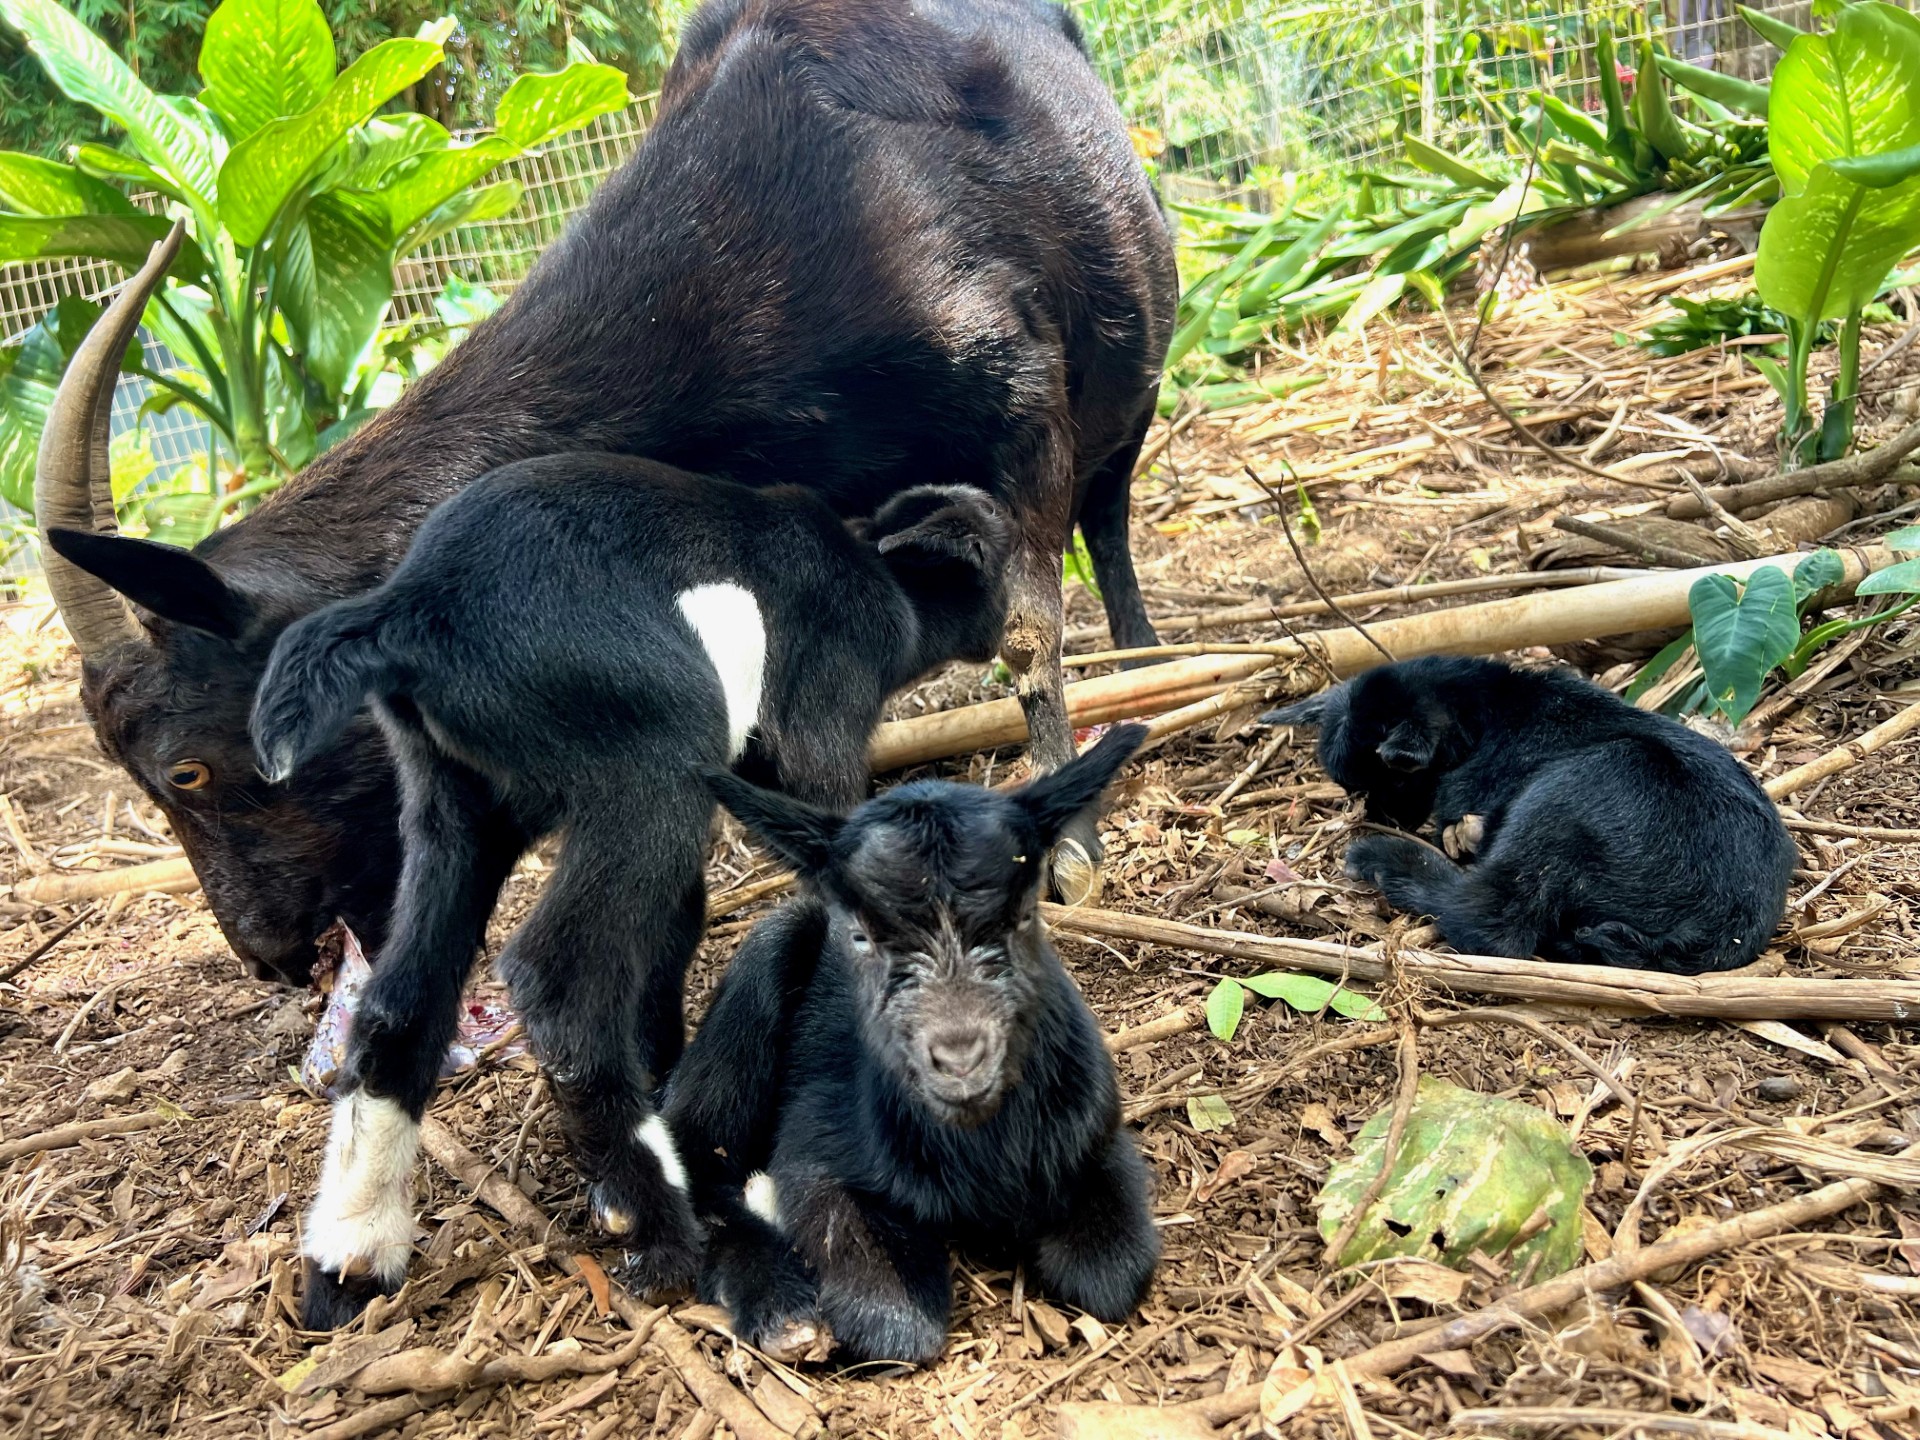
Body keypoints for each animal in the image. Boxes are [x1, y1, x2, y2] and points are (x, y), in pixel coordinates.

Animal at [37, 0, 1177, 986]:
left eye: (186, 770)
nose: (271, 955)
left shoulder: (1022, 403)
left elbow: (1029, 627)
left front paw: (1068, 846)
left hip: (1138, 368)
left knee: (1110, 514)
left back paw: (1146, 657)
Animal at [247, 454, 1014, 1328]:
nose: (1013, 631)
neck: (872, 569)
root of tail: (411, 607)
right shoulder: (820, 708)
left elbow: (675, 928)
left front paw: (668, 1072)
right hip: (650, 750)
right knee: (558, 978)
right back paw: (653, 1223)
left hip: (456, 804)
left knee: (402, 1002)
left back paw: (350, 1255)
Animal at [661, 725, 1159, 1366]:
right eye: (861, 937)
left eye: (1023, 915)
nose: (961, 1060)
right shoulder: (817, 1141)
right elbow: (895, 1322)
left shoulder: (1094, 1136)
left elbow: (1111, 1273)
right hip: (757, 975)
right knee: (698, 1156)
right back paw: (781, 1309)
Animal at [1261, 656, 1797, 974]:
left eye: (1391, 780)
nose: (1380, 815)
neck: (1492, 710)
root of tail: (1720, 927)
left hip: (1588, 783)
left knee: (1493, 919)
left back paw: (1384, 859)